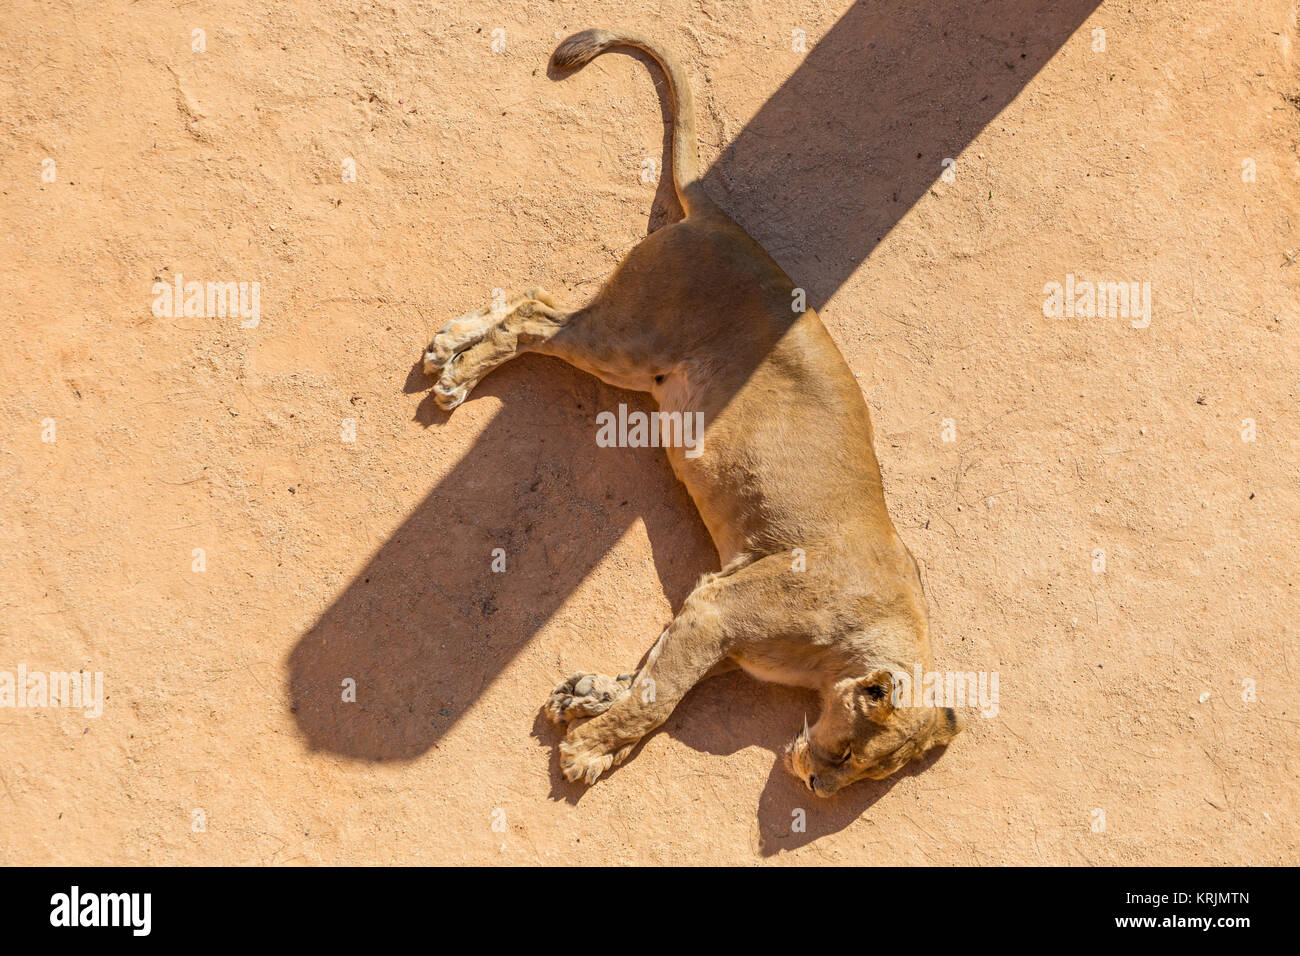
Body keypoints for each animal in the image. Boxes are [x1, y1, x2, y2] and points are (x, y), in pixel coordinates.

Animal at [422, 29, 963, 795]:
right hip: (630, 344)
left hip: (625, 344)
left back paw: (446, 345)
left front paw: (587, 701)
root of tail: (720, 222)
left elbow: (649, 675)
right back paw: (457, 378)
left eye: (867, 776)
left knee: (536, 298)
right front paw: (590, 750)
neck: (855, 650)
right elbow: (659, 699)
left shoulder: (709, 612)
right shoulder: (721, 611)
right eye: (852, 753)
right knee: (535, 322)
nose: (817, 789)